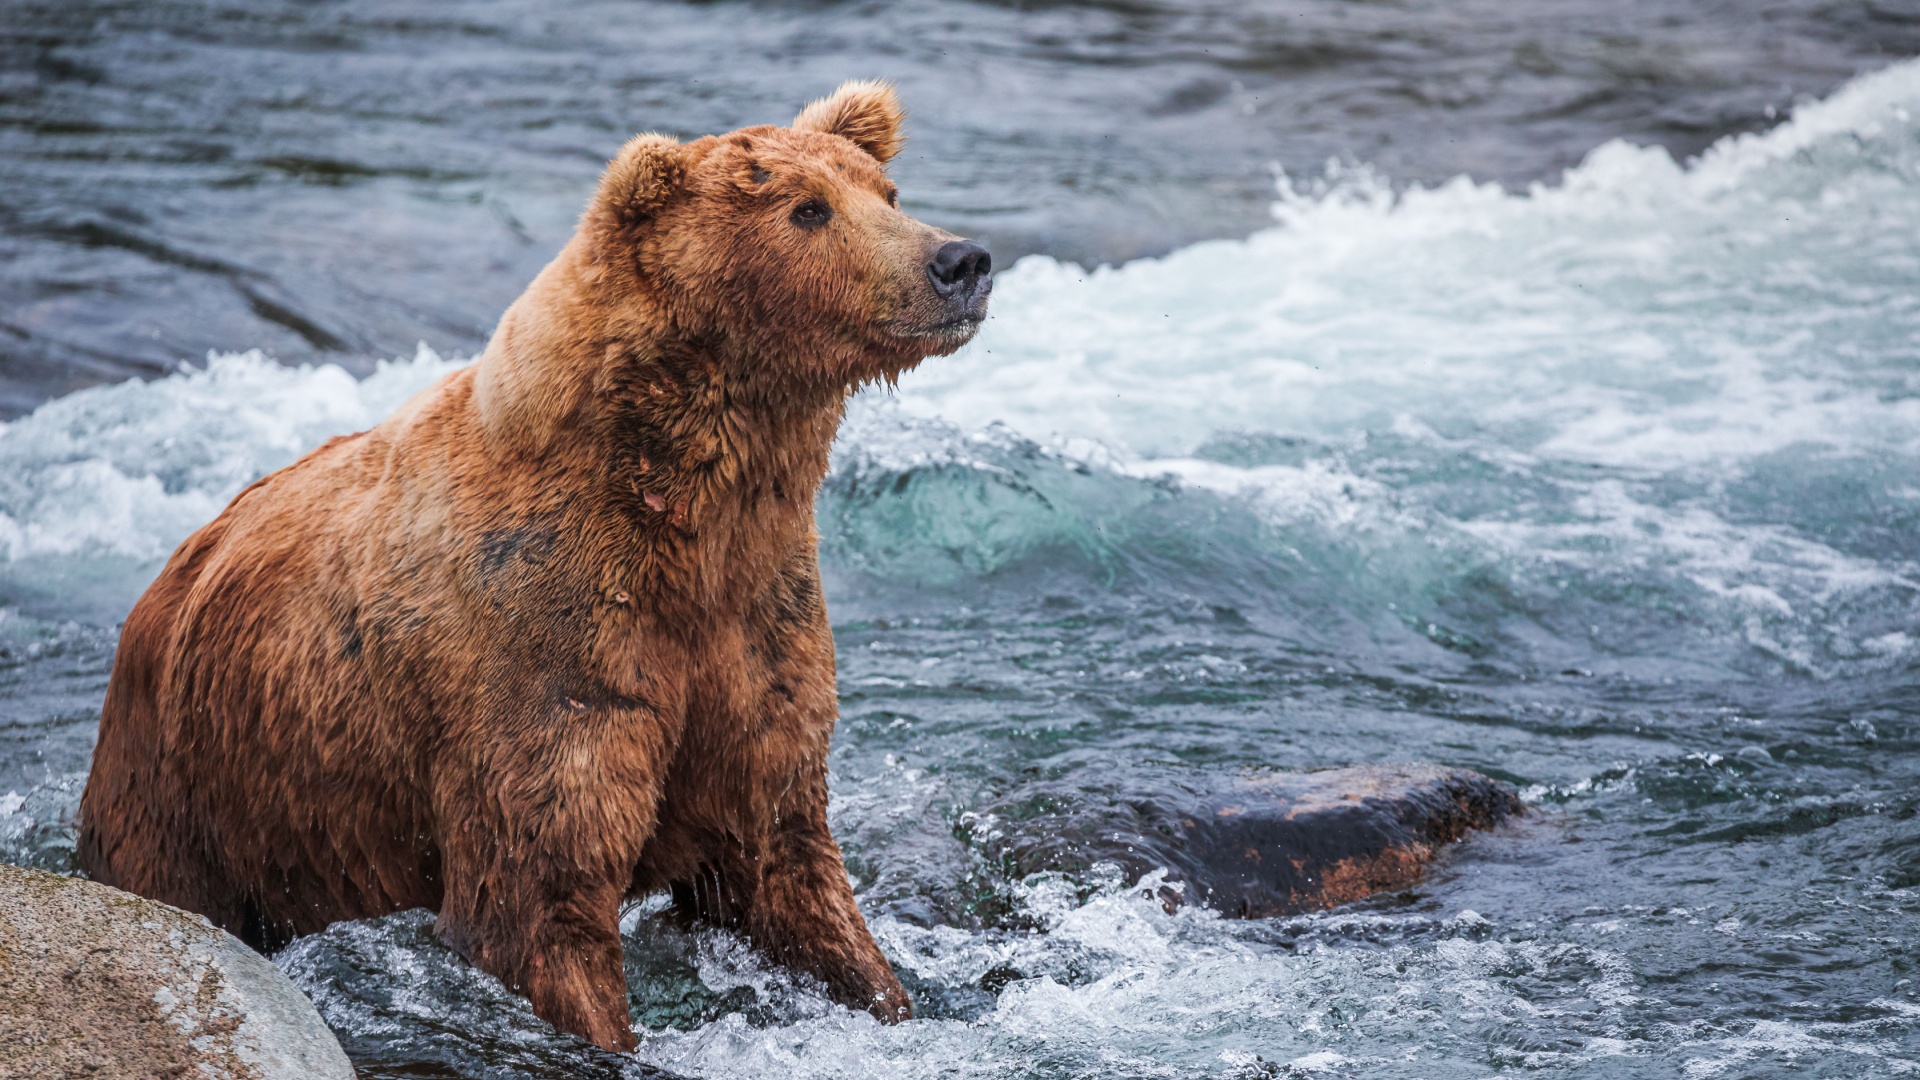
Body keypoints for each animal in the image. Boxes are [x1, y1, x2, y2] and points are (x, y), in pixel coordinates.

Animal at [75, 80, 992, 1053]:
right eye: (806, 209)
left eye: (886, 193)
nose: (960, 260)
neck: (686, 507)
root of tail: (171, 570)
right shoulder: (548, 643)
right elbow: (542, 900)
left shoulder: (754, 629)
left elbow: (784, 862)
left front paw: (889, 997)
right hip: (192, 791)